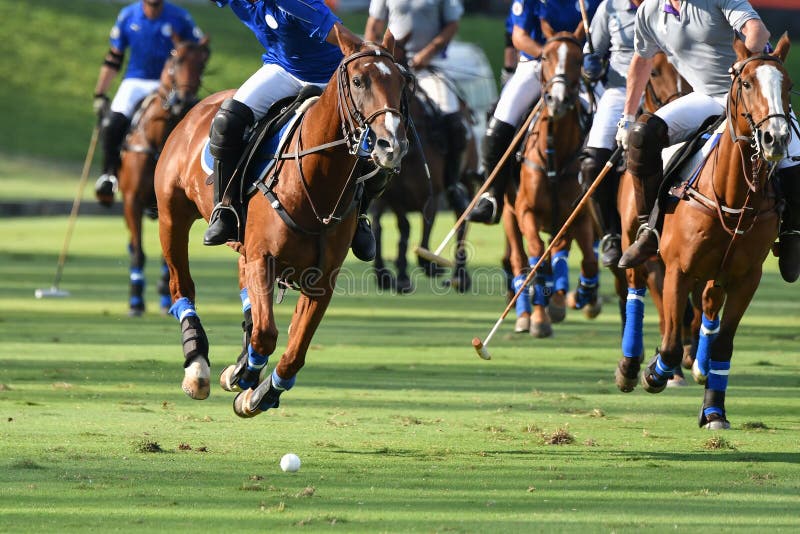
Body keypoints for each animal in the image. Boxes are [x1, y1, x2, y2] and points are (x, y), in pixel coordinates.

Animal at [115, 37, 210, 317]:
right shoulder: (133, 201)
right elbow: (139, 253)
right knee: (133, 245)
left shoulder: (171, 208)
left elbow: (166, 257)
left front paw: (165, 296)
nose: (183, 101)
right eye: (176, 59)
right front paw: (136, 301)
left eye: (203, 62)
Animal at [155, 29, 409, 416]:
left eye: (401, 82)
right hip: (172, 216)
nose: (390, 144)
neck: (317, 181)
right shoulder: (264, 257)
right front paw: (245, 375)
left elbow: (295, 350)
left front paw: (261, 393)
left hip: (242, 244)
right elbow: (266, 335)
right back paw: (197, 366)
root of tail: (198, 108)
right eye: (358, 80)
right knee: (181, 285)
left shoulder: (321, 280)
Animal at [370, 90, 479, 294]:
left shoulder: (431, 194)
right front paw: (401, 277)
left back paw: (460, 276)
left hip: (467, 178)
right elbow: (403, 227)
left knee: (462, 216)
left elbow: (426, 225)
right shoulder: (394, 196)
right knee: (377, 225)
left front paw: (426, 264)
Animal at [508, 32, 600, 338]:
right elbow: (536, 254)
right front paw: (539, 319)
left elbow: (587, 259)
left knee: (559, 249)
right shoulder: (525, 211)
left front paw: (577, 296)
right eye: (545, 56)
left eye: (580, 59)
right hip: (508, 214)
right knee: (520, 260)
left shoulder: (578, 214)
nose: (557, 100)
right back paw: (526, 315)